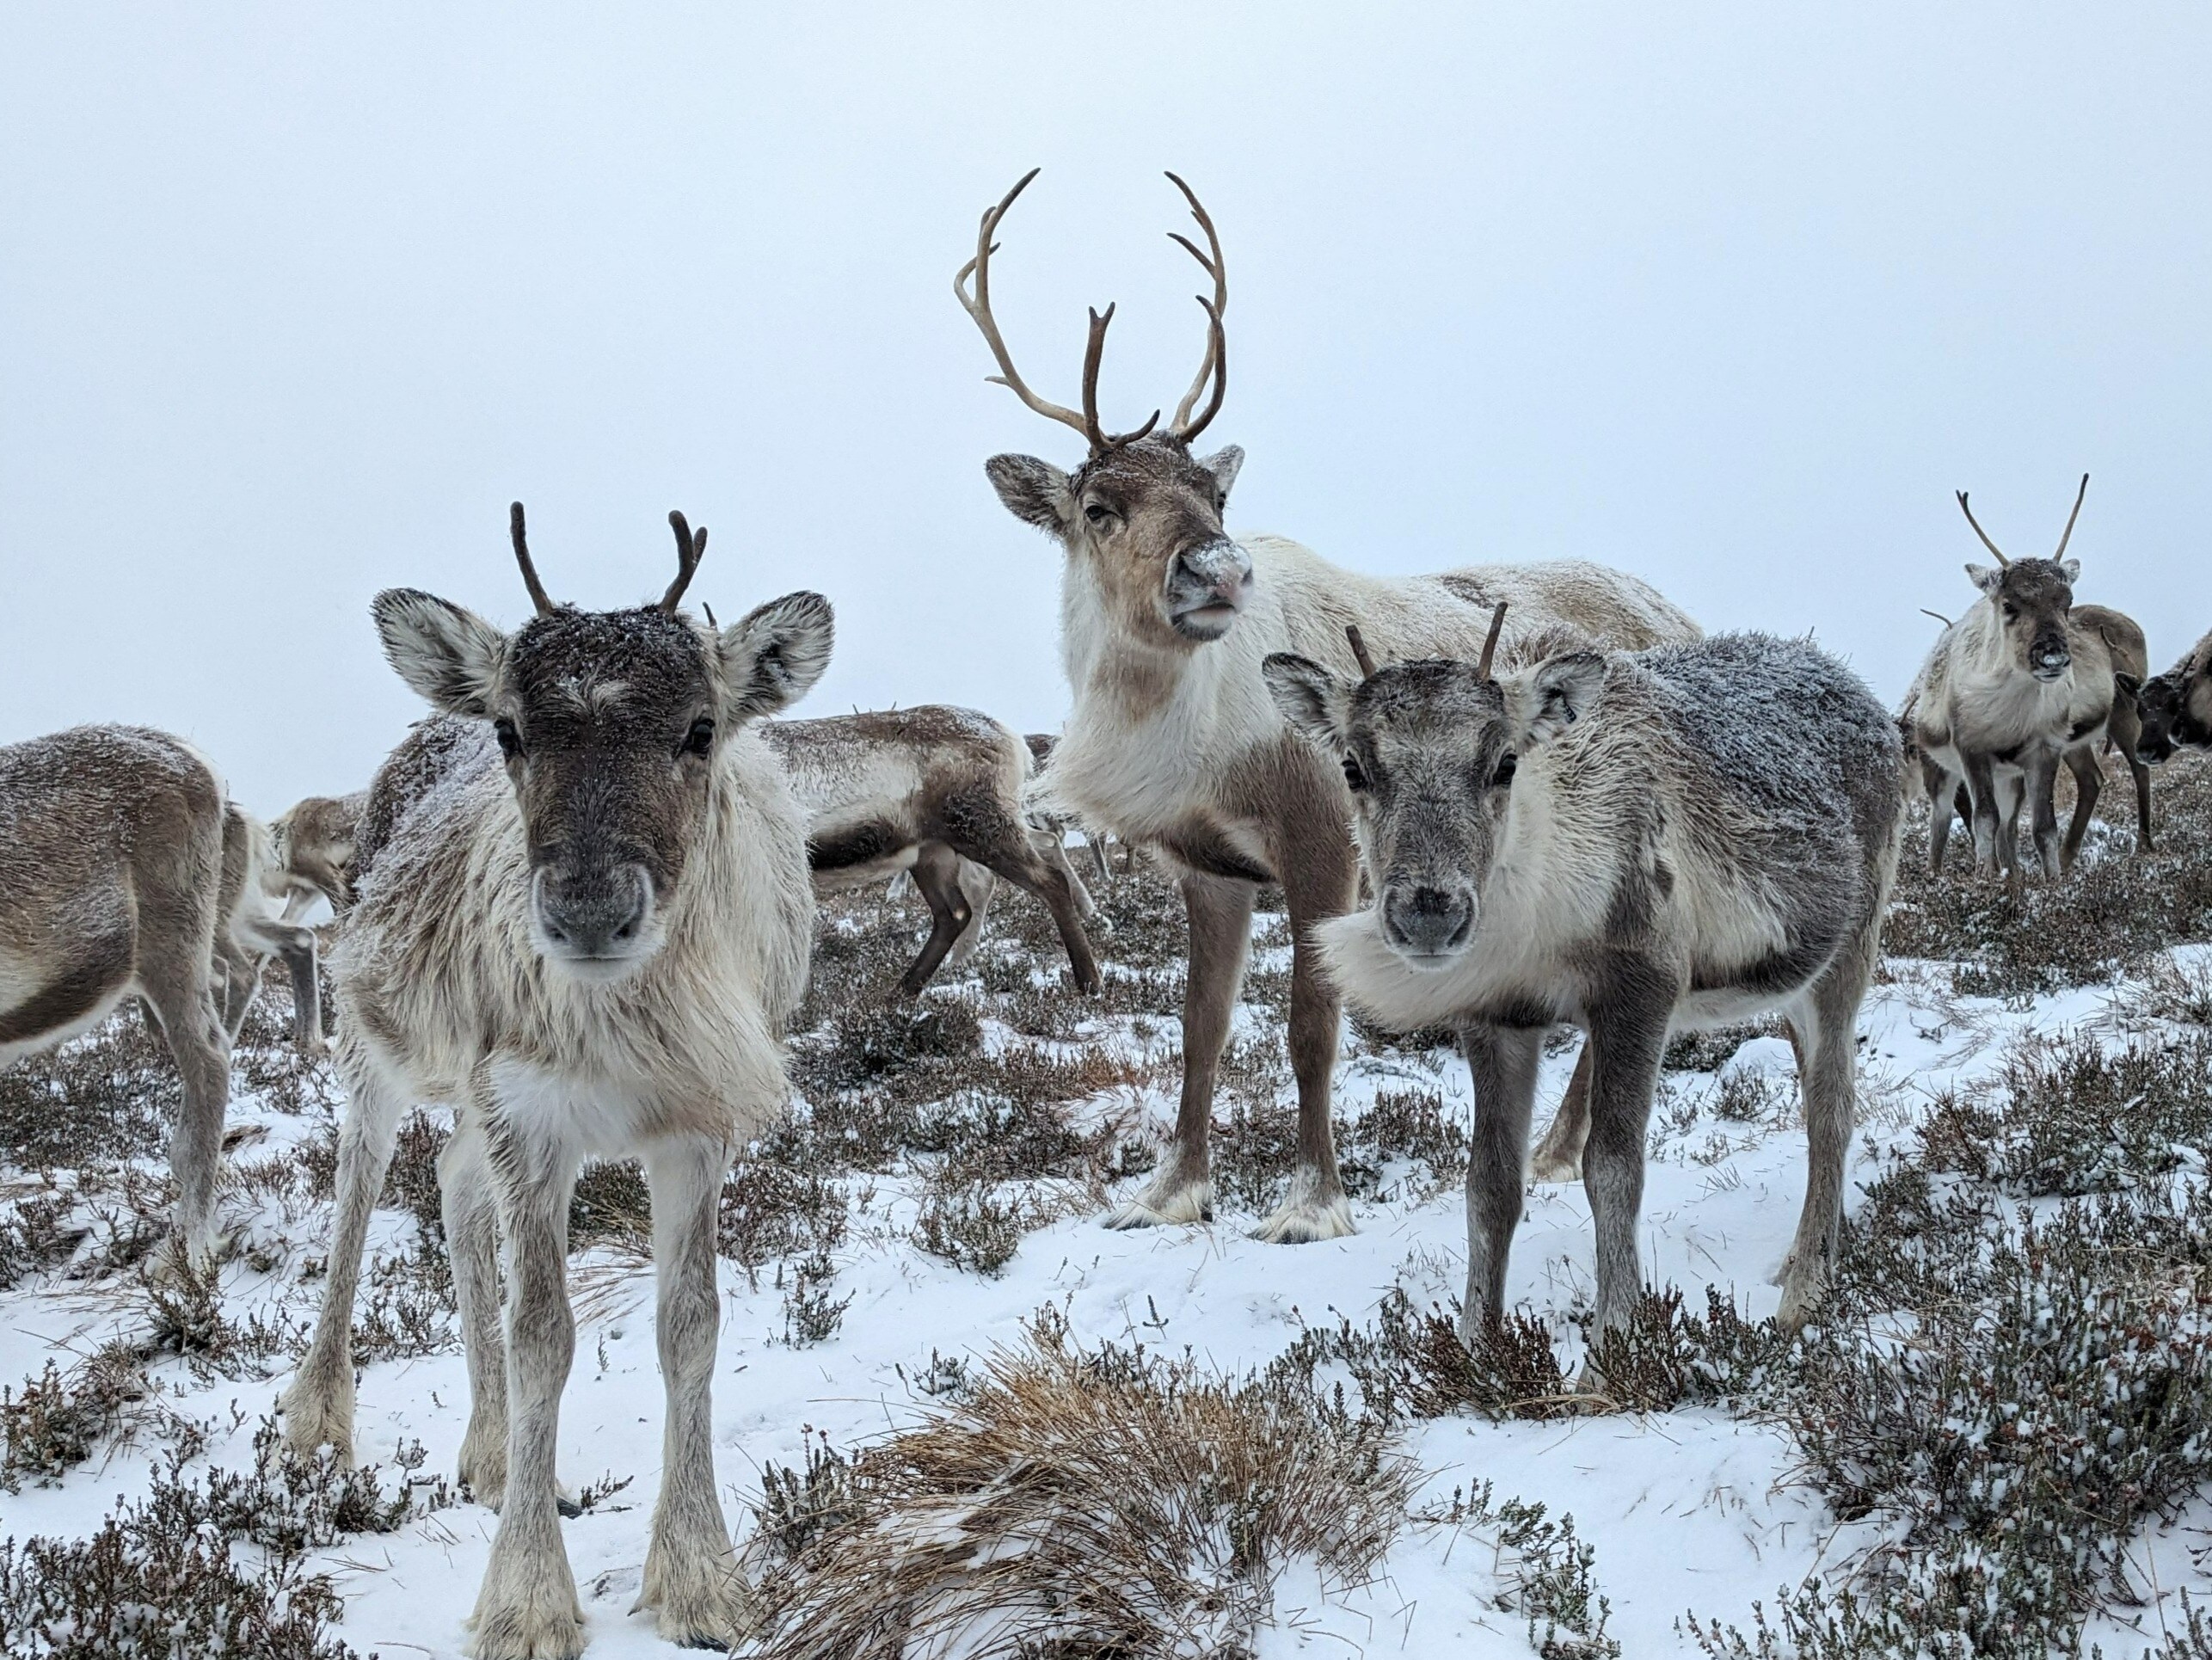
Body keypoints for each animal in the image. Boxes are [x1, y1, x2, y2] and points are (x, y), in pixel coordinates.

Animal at [277, 503, 833, 1658]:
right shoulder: (532, 1115)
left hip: (473, 1092)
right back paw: (317, 1416)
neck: (634, 1019)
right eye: (512, 731)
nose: (587, 910)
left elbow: (690, 1324)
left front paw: (701, 1579)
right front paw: (527, 1600)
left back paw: (489, 1453)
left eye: (700, 728)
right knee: (358, 1183)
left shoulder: (694, 1123)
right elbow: (543, 1333)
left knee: (450, 1185)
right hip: (377, 1038)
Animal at [759, 705, 1101, 995]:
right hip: (933, 852)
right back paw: (901, 993)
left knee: (1050, 881)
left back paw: (1089, 983)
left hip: (982, 829)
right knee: (955, 912)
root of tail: (1012, 739)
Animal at [955, 167, 1700, 1242]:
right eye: (1098, 505)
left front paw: (1310, 1202)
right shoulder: (1210, 868)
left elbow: (1312, 1028)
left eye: (1213, 495)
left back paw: (1559, 1150)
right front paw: (1170, 1192)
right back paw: (1558, 1148)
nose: (1217, 570)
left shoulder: (1320, 848)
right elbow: (1201, 1029)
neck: (1198, 734)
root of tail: (1676, 612)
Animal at [1262, 616, 1902, 1347]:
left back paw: (1805, 1293)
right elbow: (1489, 1184)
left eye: (1504, 762)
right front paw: (1475, 1345)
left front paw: (1614, 1344)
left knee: (1832, 1109)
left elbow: (1613, 1170)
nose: (1429, 911)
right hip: (1791, 985)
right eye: (1354, 767)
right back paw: (1795, 1261)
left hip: (1849, 953)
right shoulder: (1494, 1016)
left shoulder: (1641, 987)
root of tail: (1872, 704)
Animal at [1905, 476, 2152, 891]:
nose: (2053, 657)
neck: (2011, 713)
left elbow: (2044, 826)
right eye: (2009, 604)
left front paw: (2052, 884)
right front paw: (1987, 879)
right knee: (1942, 818)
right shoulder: (1972, 748)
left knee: (2133, 770)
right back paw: (1936, 873)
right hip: (1951, 765)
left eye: (2067, 600)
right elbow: (1984, 819)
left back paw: (2138, 848)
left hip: (2125, 714)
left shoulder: (2045, 747)